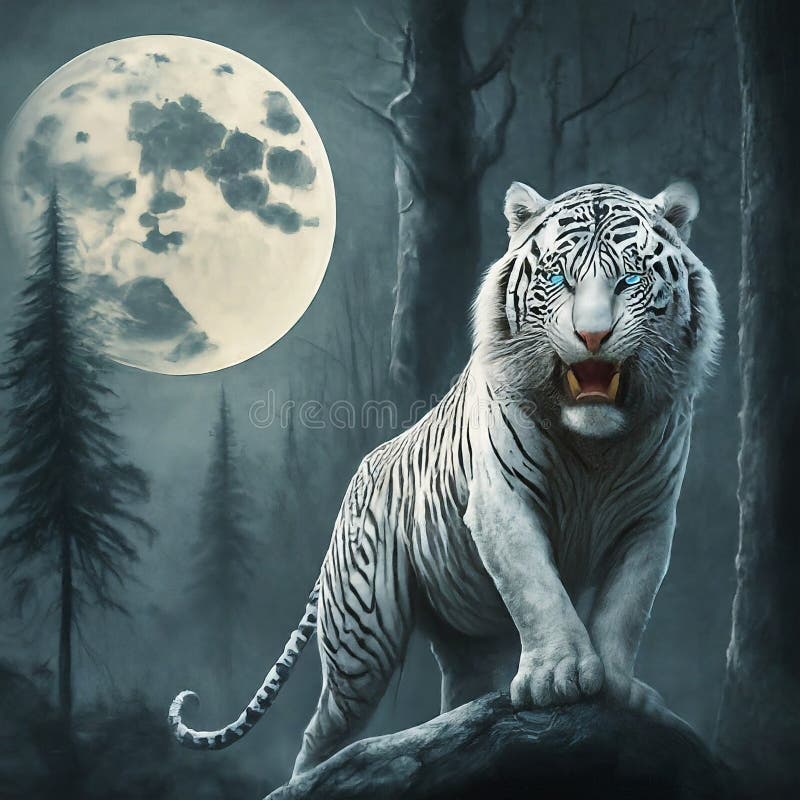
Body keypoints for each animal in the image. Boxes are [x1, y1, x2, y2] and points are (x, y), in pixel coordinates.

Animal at [169, 179, 721, 779]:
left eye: (630, 280)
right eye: (559, 280)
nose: (593, 336)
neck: (595, 449)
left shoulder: (650, 520)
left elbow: (626, 605)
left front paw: (619, 689)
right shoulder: (503, 503)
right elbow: (538, 588)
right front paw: (557, 677)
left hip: (465, 638)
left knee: (456, 707)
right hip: (362, 642)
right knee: (321, 733)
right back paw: (312, 776)